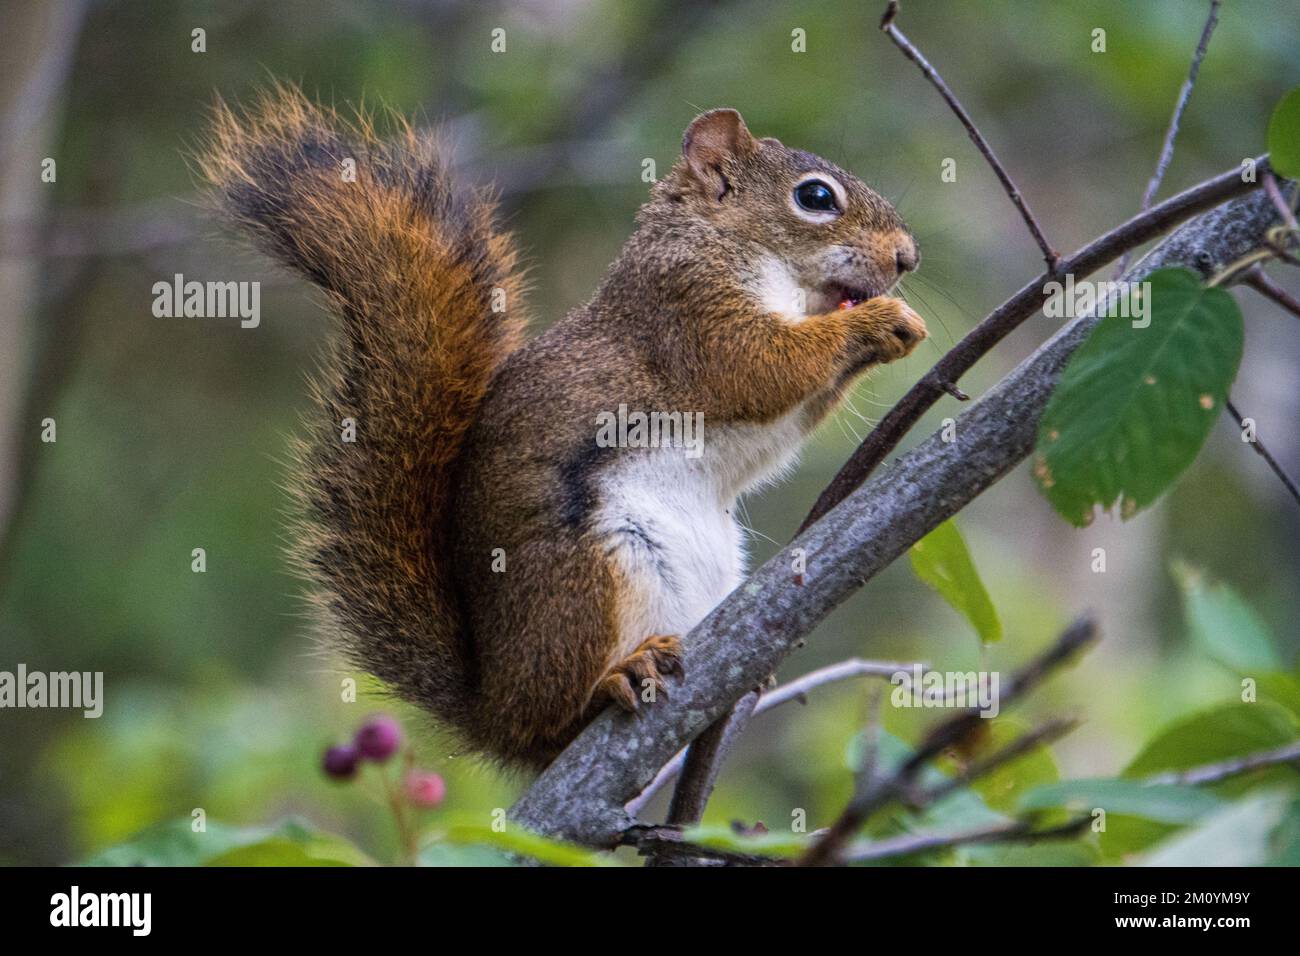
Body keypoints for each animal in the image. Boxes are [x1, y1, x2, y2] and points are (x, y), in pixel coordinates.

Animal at [199, 87, 926, 771]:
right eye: (815, 197)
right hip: (588, 578)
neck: (727, 246)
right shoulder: (690, 318)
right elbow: (762, 370)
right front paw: (878, 322)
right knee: (552, 718)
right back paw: (616, 678)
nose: (908, 257)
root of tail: (491, 710)